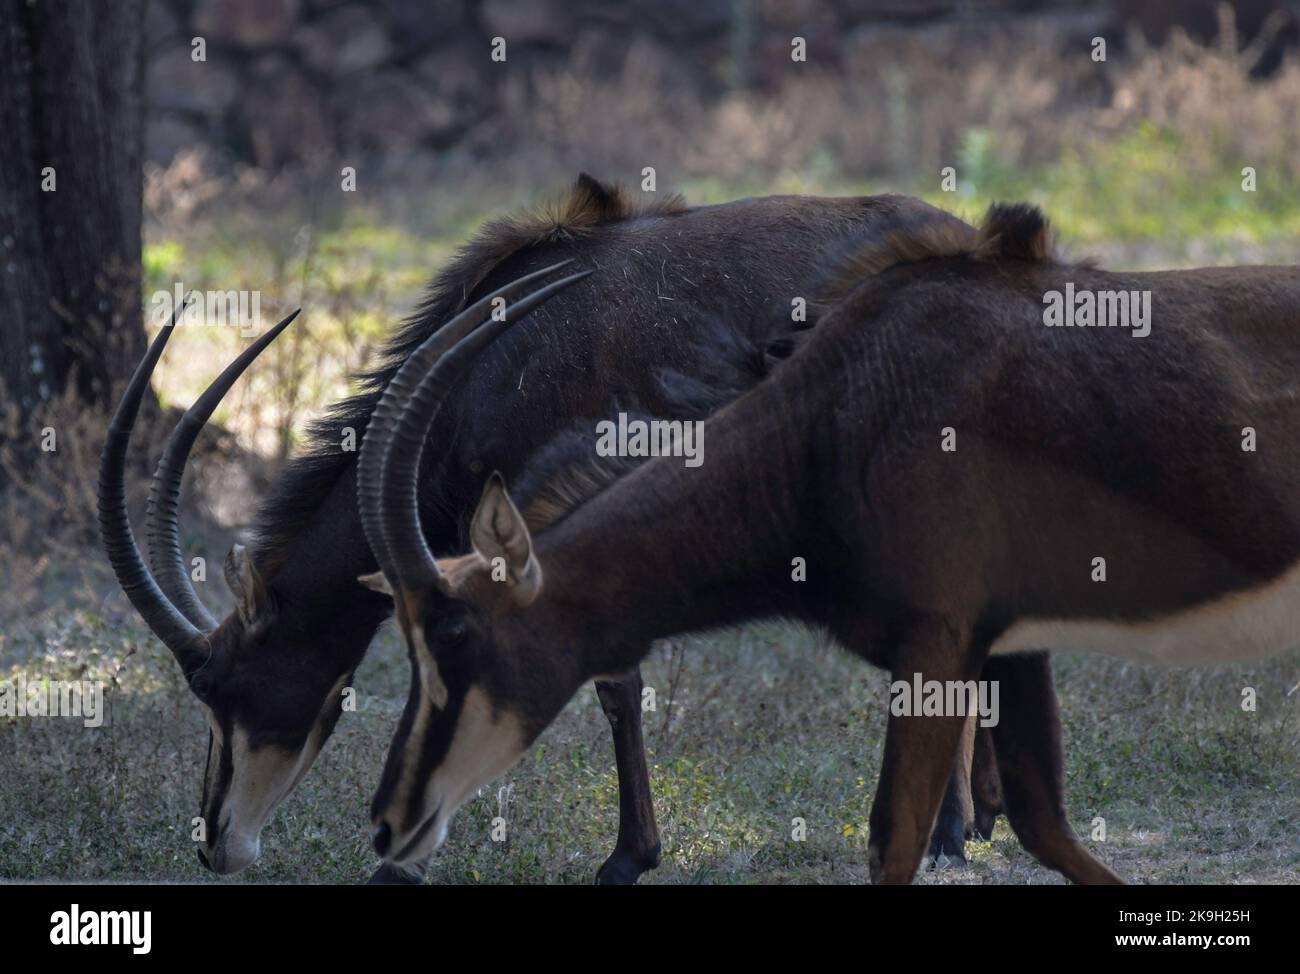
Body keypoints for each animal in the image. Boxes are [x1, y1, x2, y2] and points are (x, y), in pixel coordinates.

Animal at [98, 176, 1000, 881]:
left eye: (220, 685)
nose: (215, 844)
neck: (490, 370)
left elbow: (607, 680)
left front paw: (622, 857)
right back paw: (980, 819)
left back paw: (951, 832)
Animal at [362, 201, 1300, 883]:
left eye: (454, 635)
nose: (388, 826)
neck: (832, 418)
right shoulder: (1005, 642)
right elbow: (1048, 828)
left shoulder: (938, 637)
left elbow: (893, 837)